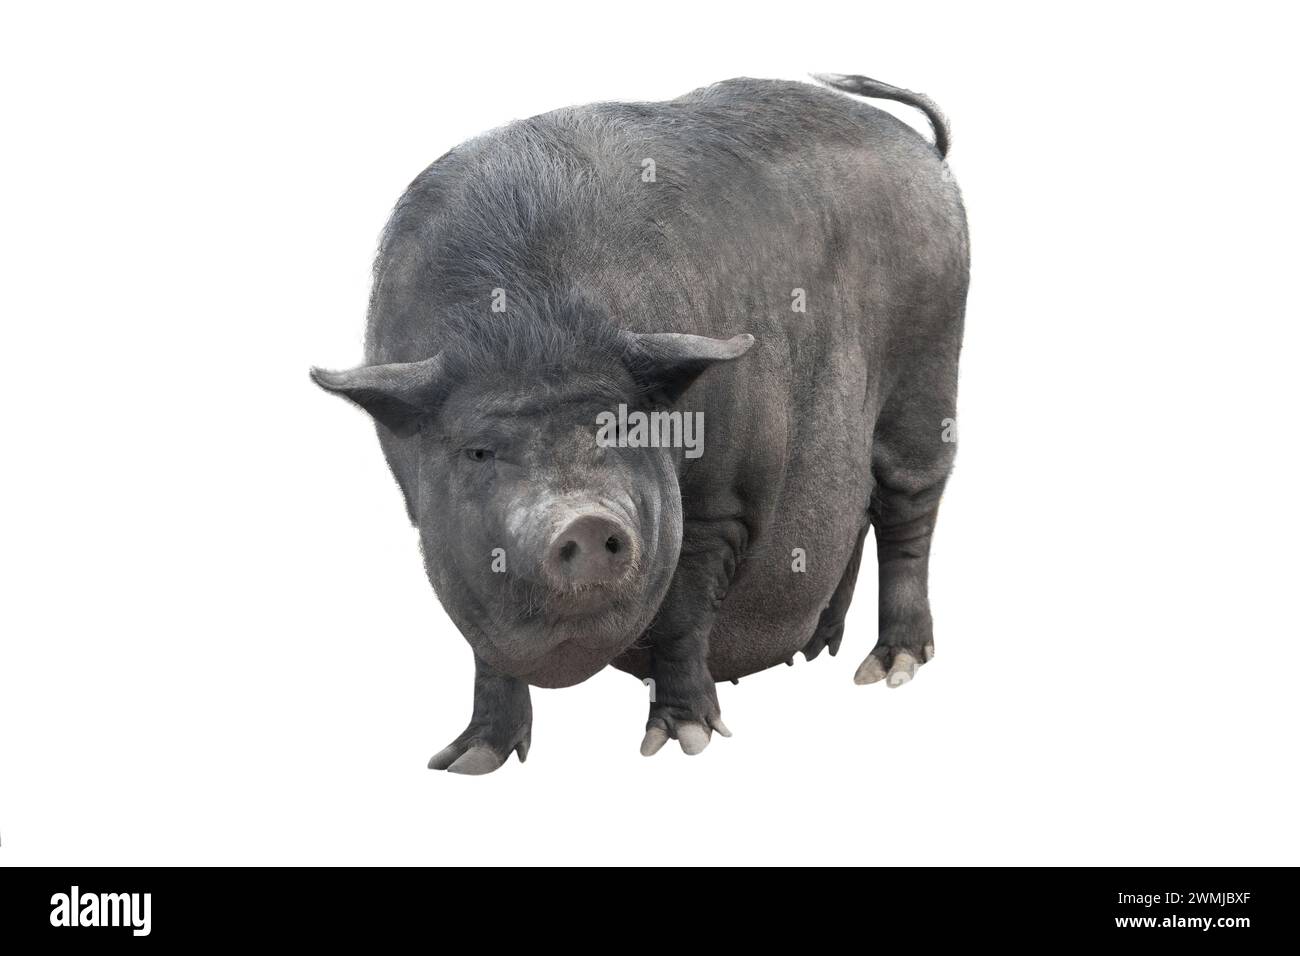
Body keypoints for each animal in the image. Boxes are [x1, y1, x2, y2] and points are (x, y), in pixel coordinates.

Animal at [313, 73, 968, 773]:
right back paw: (819, 649)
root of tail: (924, 151)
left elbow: (683, 616)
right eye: (478, 451)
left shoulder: (719, 503)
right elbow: (484, 643)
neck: (531, 321)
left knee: (908, 512)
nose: (583, 519)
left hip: (928, 378)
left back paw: (888, 669)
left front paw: (684, 742)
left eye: (624, 428)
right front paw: (465, 762)